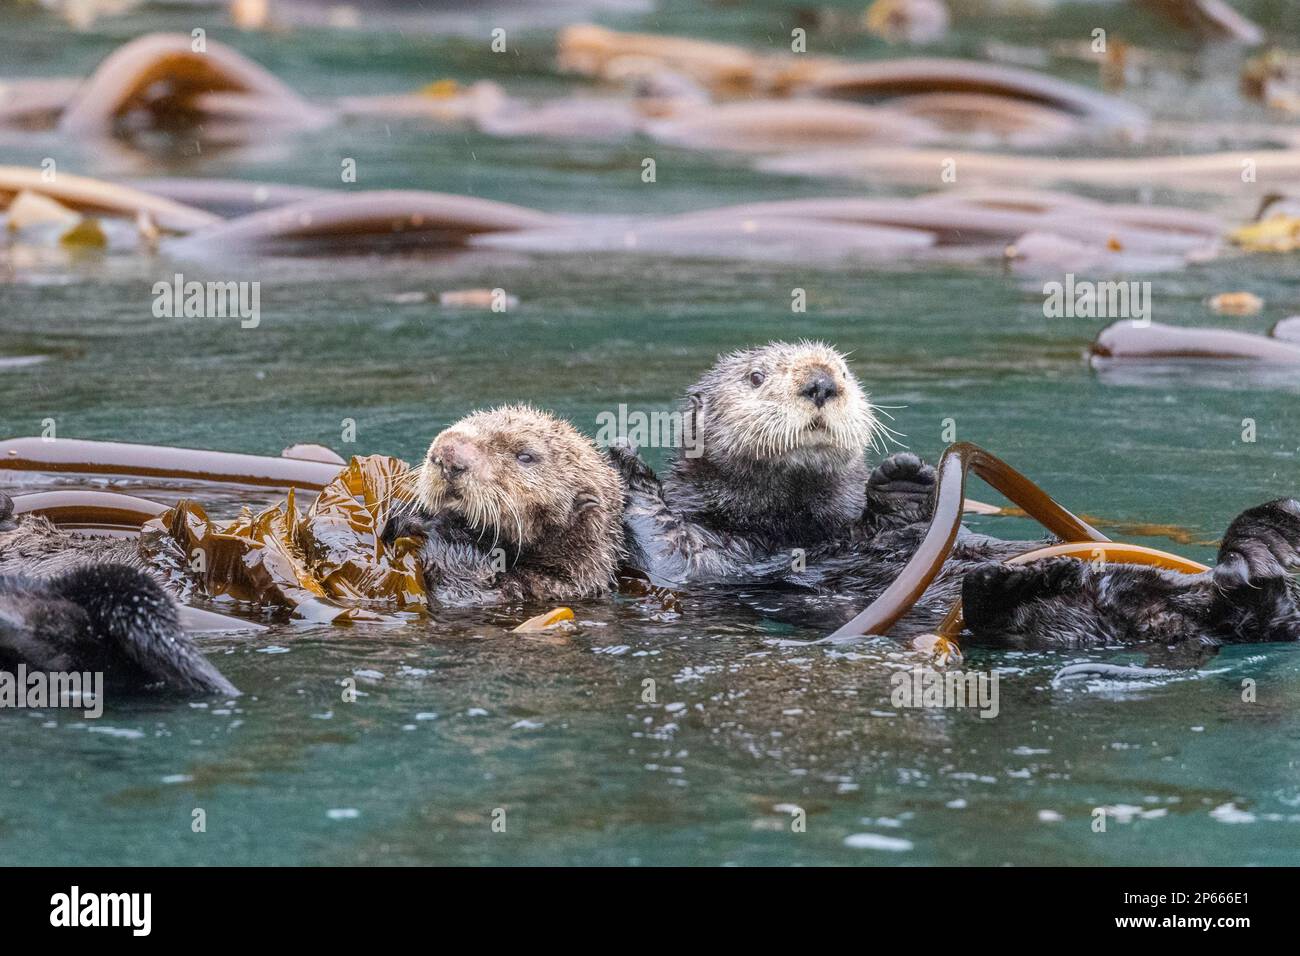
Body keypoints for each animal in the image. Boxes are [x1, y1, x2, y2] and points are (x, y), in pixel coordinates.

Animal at [611, 342, 1300, 648]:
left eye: (843, 369)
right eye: (756, 378)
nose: (821, 383)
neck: (801, 531)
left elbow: (900, 522)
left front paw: (905, 480)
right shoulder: (710, 557)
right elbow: (671, 547)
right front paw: (626, 462)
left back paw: (1268, 541)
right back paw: (1021, 583)